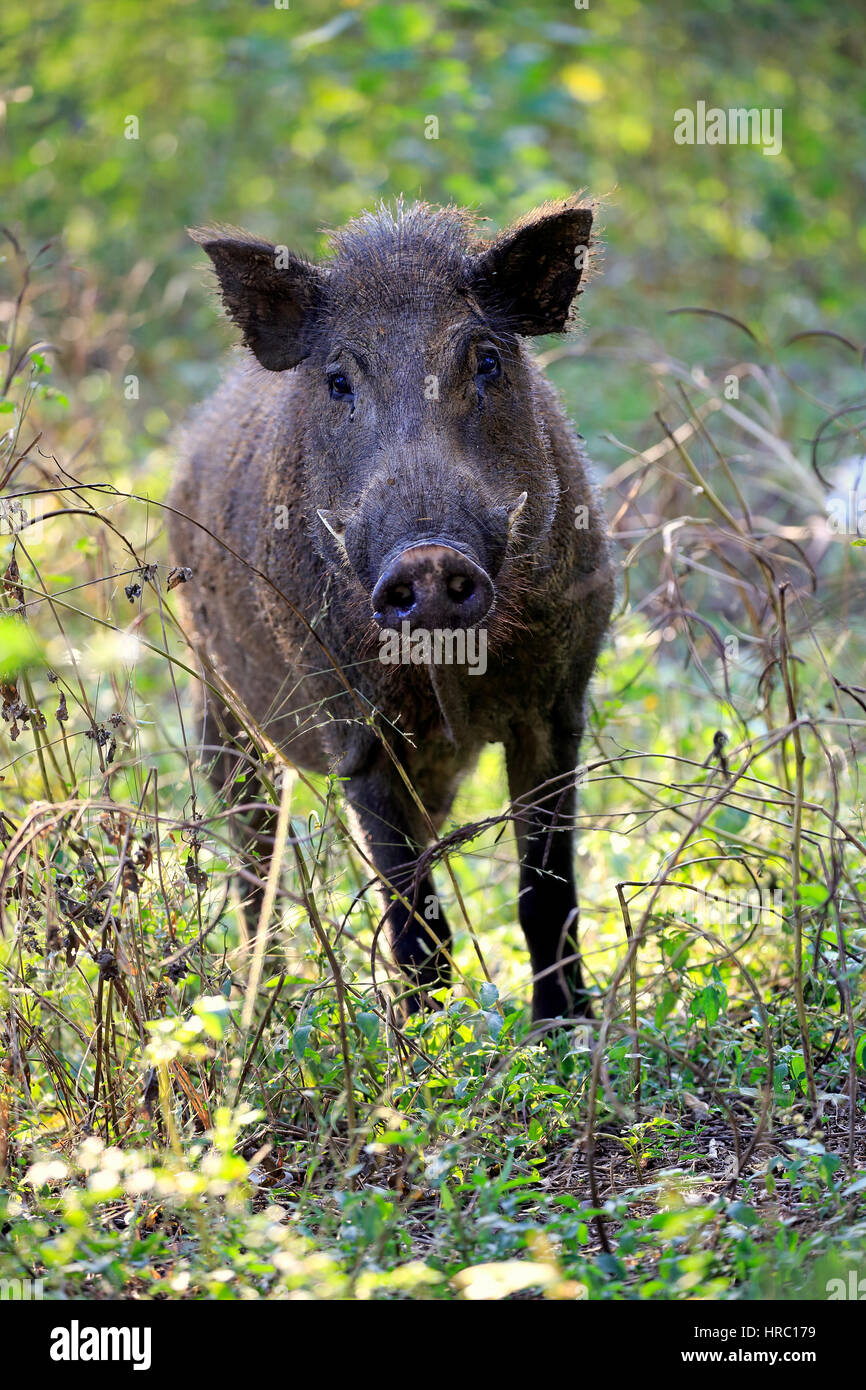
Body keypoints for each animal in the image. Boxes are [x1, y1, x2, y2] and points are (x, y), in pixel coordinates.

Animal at [168, 197, 614, 1021]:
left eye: (487, 360)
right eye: (339, 380)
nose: (428, 560)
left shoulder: (558, 705)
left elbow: (546, 894)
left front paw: (567, 1029)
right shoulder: (356, 730)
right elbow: (418, 926)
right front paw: (431, 1046)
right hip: (216, 702)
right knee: (250, 848)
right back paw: (264, 1006)